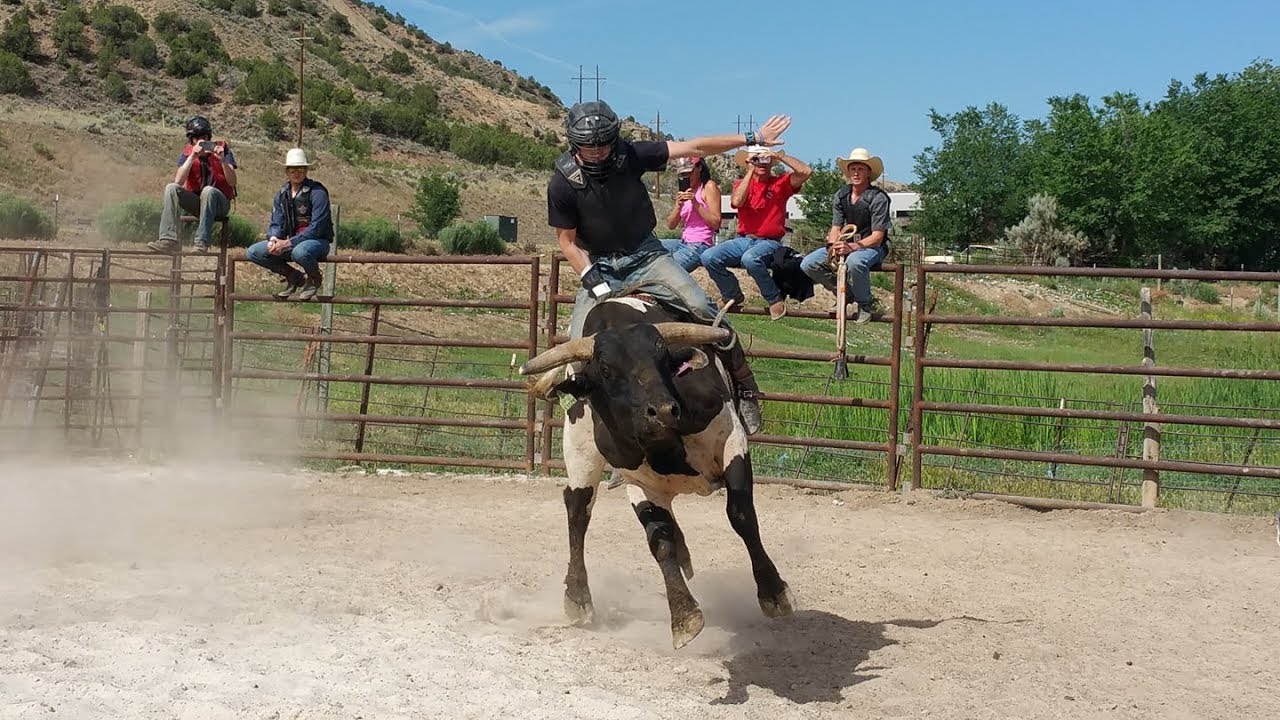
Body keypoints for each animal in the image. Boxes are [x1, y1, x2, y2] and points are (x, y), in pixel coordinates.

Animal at [519, 297, 793, 649]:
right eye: (606, 370)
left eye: (664, 359)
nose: (663, 411)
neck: (666, 446)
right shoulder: (639, 483)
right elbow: (660, 541)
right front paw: (684, 617)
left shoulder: (732, 441)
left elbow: (741, 514)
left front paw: (774, 594)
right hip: (580, 453)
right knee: (578, 511)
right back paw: (578, 598)